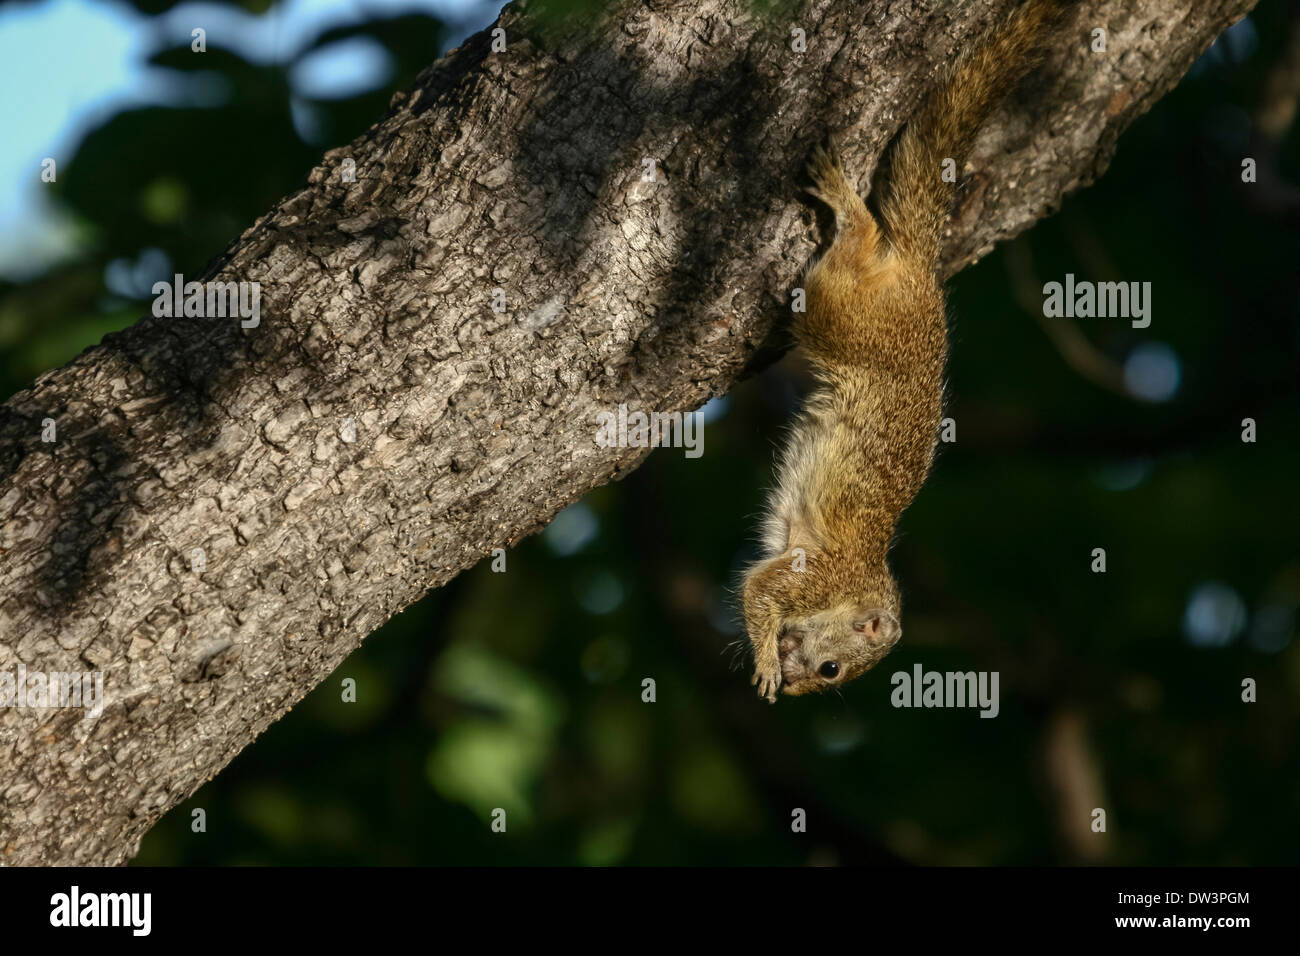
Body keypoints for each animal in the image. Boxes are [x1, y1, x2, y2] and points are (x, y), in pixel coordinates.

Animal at [743, 0, 1072, 702]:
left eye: (829, 675)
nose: (796, 684)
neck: (858, 585)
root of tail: (922, 273)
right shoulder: (815, 574)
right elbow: (758, 590)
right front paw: (762, 660)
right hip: (843, 317)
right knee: (859, 239)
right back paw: (845, 201)